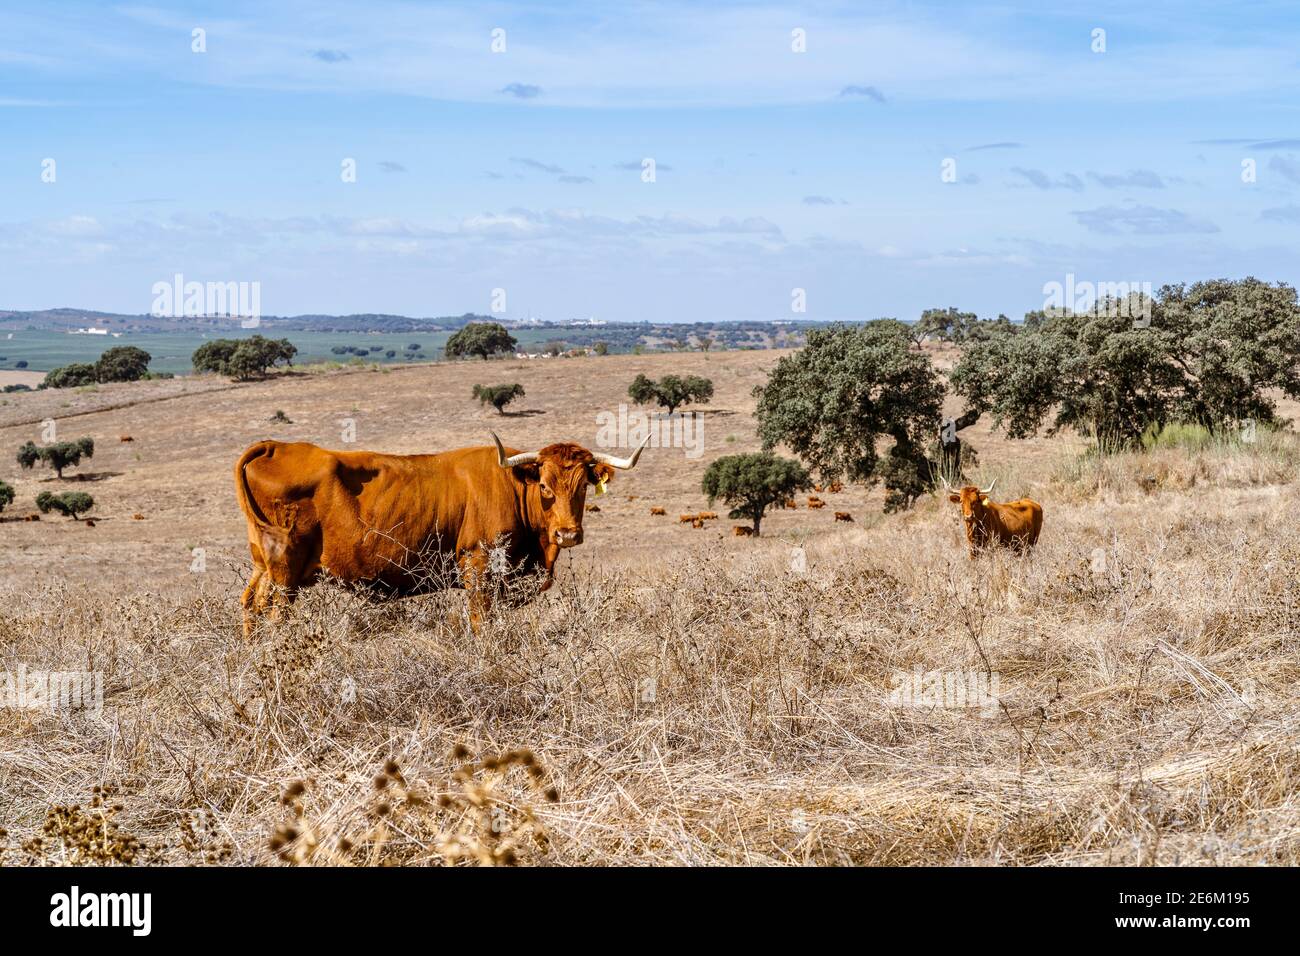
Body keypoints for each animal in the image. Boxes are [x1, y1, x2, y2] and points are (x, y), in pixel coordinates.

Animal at [235, 432, 649, 635]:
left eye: (582, 488)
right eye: (545, 487)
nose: (567, 534)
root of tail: (275, 446)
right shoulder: (478, 565)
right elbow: (481, 621)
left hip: (263, 565)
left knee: (250, 605)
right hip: (285, 570)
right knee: (272, 613)